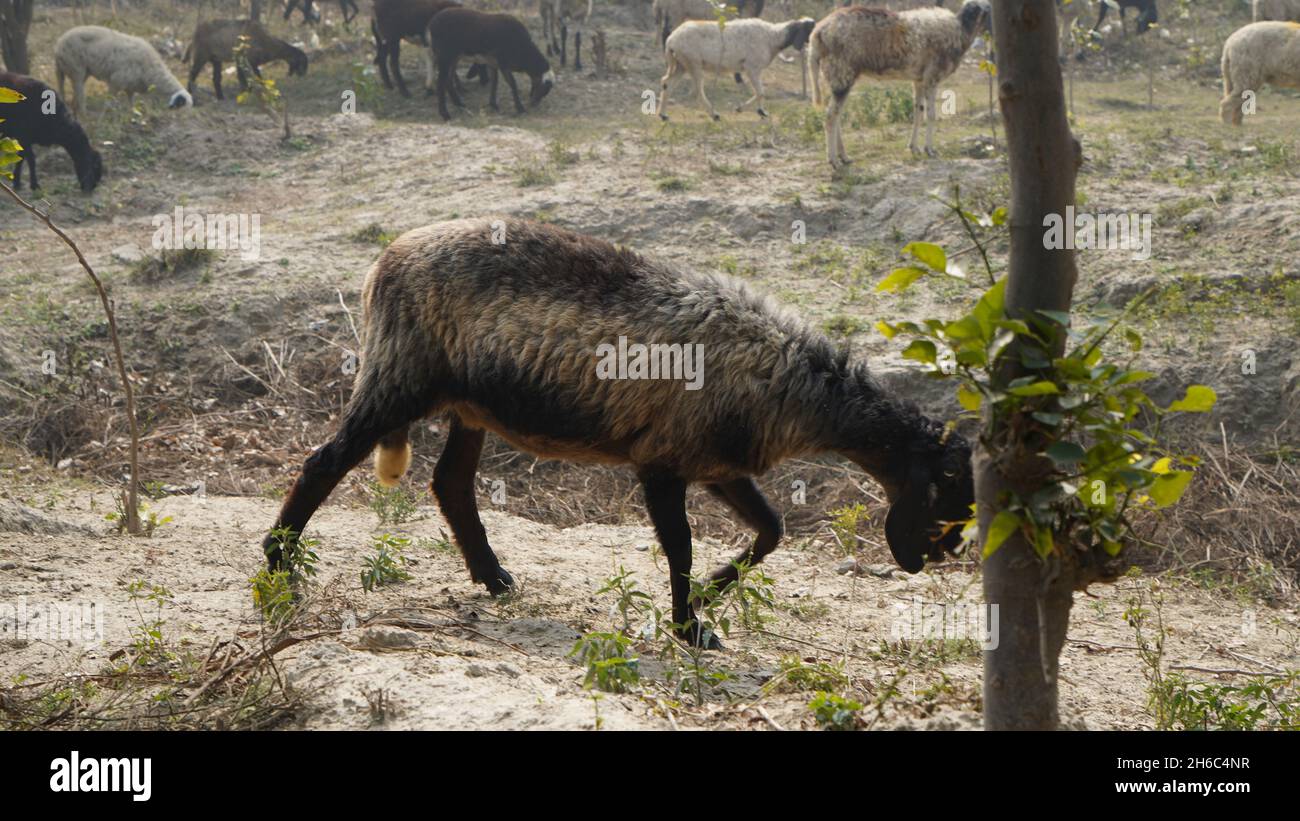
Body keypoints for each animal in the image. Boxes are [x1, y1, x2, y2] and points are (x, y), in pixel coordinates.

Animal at [54, 25, 193, 117]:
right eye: (182, 108)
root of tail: (59, 43)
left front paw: (132, 113)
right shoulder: (116, 81)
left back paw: (73, 110)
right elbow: (109, 101)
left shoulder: (130, 86)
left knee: (70, 91)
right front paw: (106, 115)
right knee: (79, 94)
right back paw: (84, 114)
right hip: (76, 69)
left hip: (73, 71)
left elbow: (131, 101)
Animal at [259, 218, 974, 648]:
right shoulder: (662, 462)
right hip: (397, 380)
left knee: (451, 483)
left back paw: (495, 579)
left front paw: (709, 594)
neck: (791, 380)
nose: (938, 559)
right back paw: (277, 565)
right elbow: (682, 547)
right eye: (942, 487)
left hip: (471, 407)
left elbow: (771, 530)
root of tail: (387, 257)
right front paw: (691, 625)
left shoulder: (714, 462)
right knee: (323, 462)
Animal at [656, 17, 816, 120]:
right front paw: (746, 109)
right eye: (809, 29)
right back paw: (714, 114)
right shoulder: (752, 68)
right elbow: (761, 92)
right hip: (693, 63)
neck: (773, 37)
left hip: (681, 64)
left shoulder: (754, 69)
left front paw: (761, 111)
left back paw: (663, 115)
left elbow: (760, 92)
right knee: (697, 91)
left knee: (667, 83)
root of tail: (671, 40)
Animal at [810, 1, 991, 168]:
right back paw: (834, 160)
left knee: (835, 116)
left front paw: (914, 148)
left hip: (834, 77)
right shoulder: (932, 78)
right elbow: (931, 115)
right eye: (988, 12)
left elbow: (918, 113)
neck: (960, 30)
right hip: (842, 74)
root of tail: (818, 32)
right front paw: (930, 150)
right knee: (830, 117)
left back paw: (843, 157)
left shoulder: (919, 81)